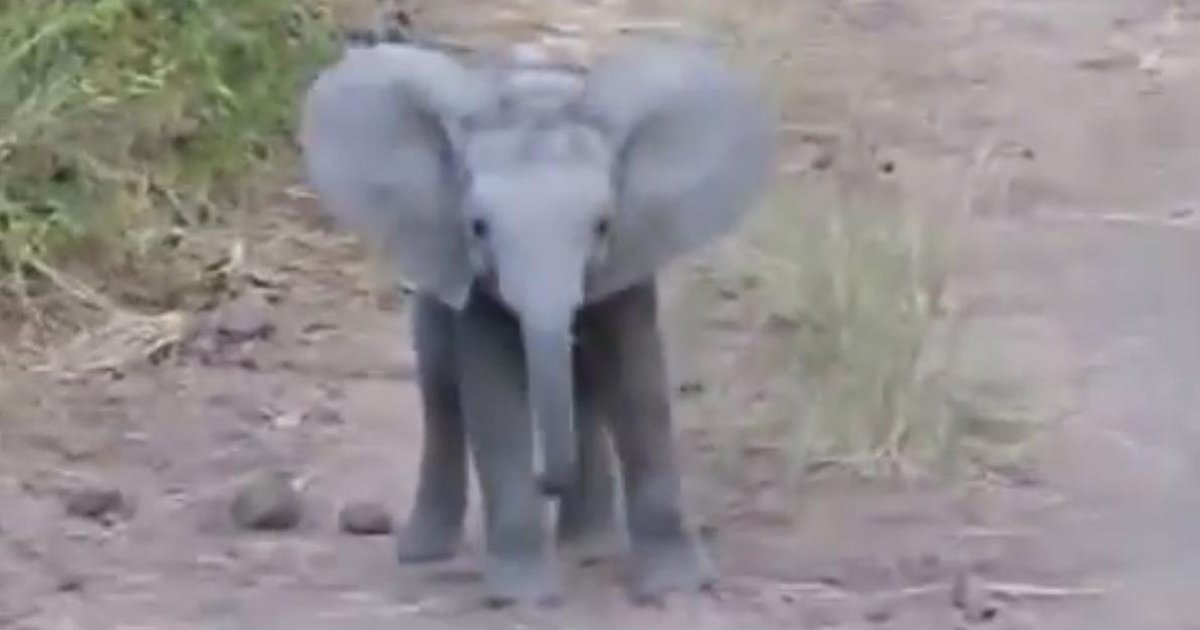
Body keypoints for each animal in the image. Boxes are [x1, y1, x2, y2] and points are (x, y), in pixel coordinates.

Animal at [298, 39, 774, 605]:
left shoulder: (632, 253)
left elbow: (639, 388)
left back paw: (587, 547)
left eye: (602, 225)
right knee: (442, 392)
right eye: (478, 227)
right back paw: (427, 553)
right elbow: (494, 401)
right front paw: (523, 597)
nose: (547, 480)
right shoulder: (468, 272)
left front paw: (677, 585)